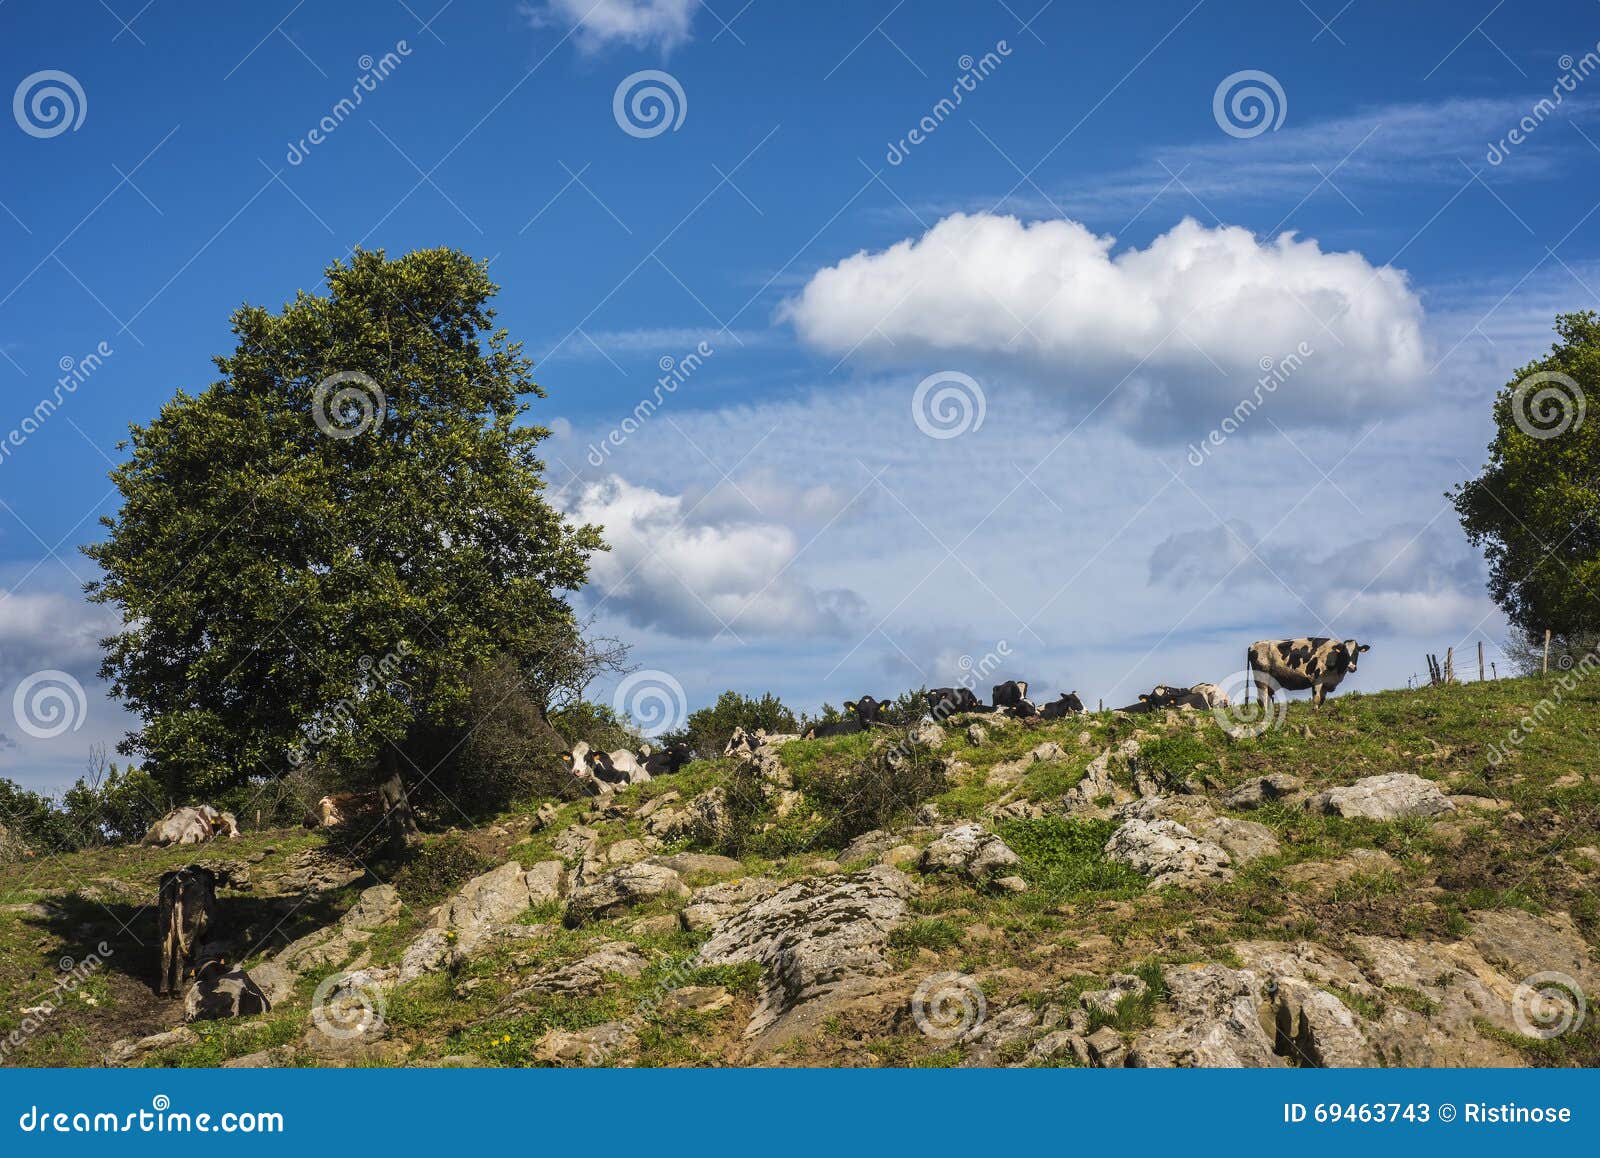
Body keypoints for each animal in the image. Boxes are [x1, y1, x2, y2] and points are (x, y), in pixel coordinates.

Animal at [157, 865, 218, 997]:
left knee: (165, 954)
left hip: (165, 922)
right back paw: (177, 989)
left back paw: (164, 990)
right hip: (189, 925)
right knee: (180, 952)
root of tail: (178, 880)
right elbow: (200, 950)